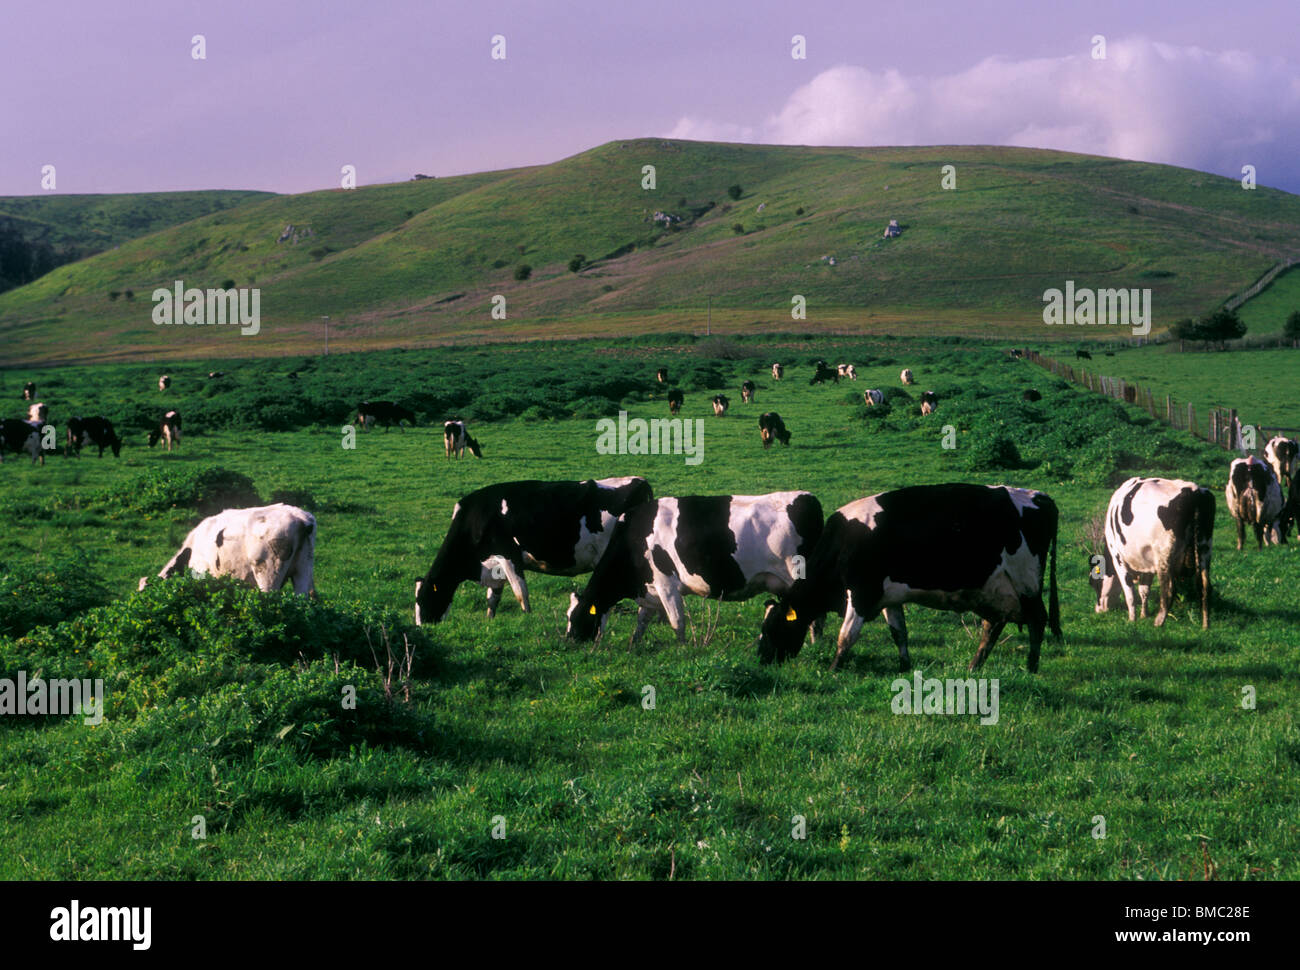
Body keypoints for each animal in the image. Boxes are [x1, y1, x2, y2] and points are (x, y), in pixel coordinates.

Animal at [414, 477, 654, 624]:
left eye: (423, 600)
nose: (421, 626)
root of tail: (640, 481)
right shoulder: (493, 565)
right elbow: (493, 597)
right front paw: (489, 619)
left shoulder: (508, 555)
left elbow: (520, 592)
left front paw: (527, 618)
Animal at [566, 491, 825, 646]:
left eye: (576, 617)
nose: (568, 643)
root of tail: (806, 497)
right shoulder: (650, 589)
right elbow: (642, 620)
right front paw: (633, 645)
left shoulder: (666, 583)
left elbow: (676, 620)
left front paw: (682, 649)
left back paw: (814, 645)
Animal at [757, 484, 1061, 673]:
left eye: (772, 629)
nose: (761, 660)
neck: (844, 542)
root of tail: (1040, 496)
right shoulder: (889, 596)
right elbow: (899, 632)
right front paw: (904, 666)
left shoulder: (862, 592)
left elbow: (847, 635)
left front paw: (834, 668)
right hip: (996, 589)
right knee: (993, 627)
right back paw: (974, 667)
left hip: (1026, 583)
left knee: (1037, 620)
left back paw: (1031, 668)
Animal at [1090, 477, 1214, 629]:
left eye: (1094, 583)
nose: (1098, 609)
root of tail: (1193, 490)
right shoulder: (1146, 562)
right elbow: (1144, 590)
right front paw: (1144, 615)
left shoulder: (1118, 558)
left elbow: (1129, 592)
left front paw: (1132, 619)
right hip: (1204, 549)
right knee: (1205, 587)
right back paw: (1205, 625)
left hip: (1164, 556)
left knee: (1168, 590)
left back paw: (1159, 622)